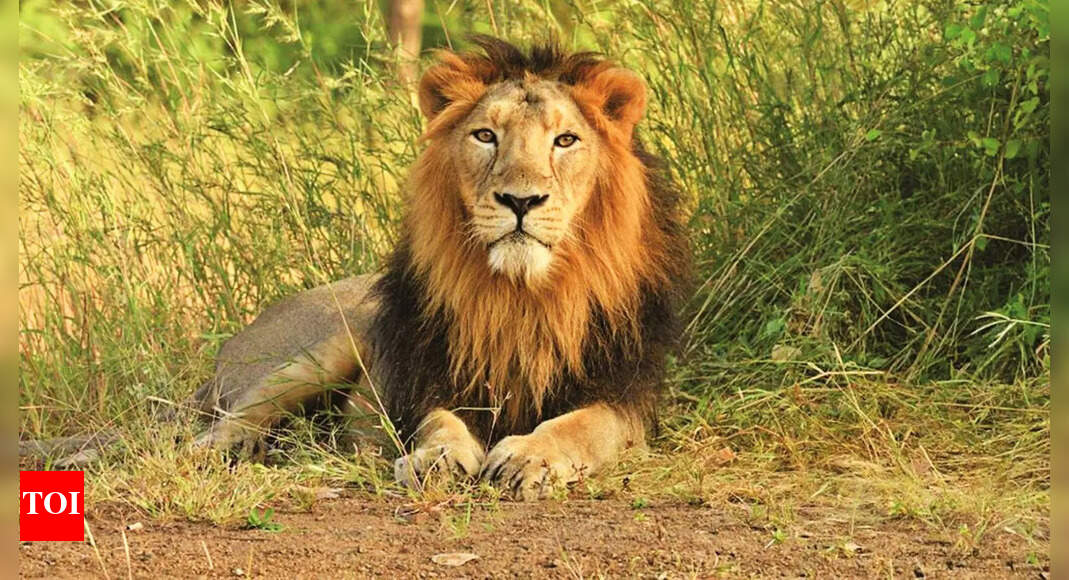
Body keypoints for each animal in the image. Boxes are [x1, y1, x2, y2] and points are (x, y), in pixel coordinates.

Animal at [193, 36, 690, 500]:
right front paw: (437, 459)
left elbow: (581, 426)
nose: (520, 201)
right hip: (325, 348)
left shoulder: (625, 397)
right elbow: (439, 422)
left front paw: (529, 458)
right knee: (242, 412)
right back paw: (223, 447)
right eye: (485, 136)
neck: (523, 295)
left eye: (565, 140)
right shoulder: (430, 378)